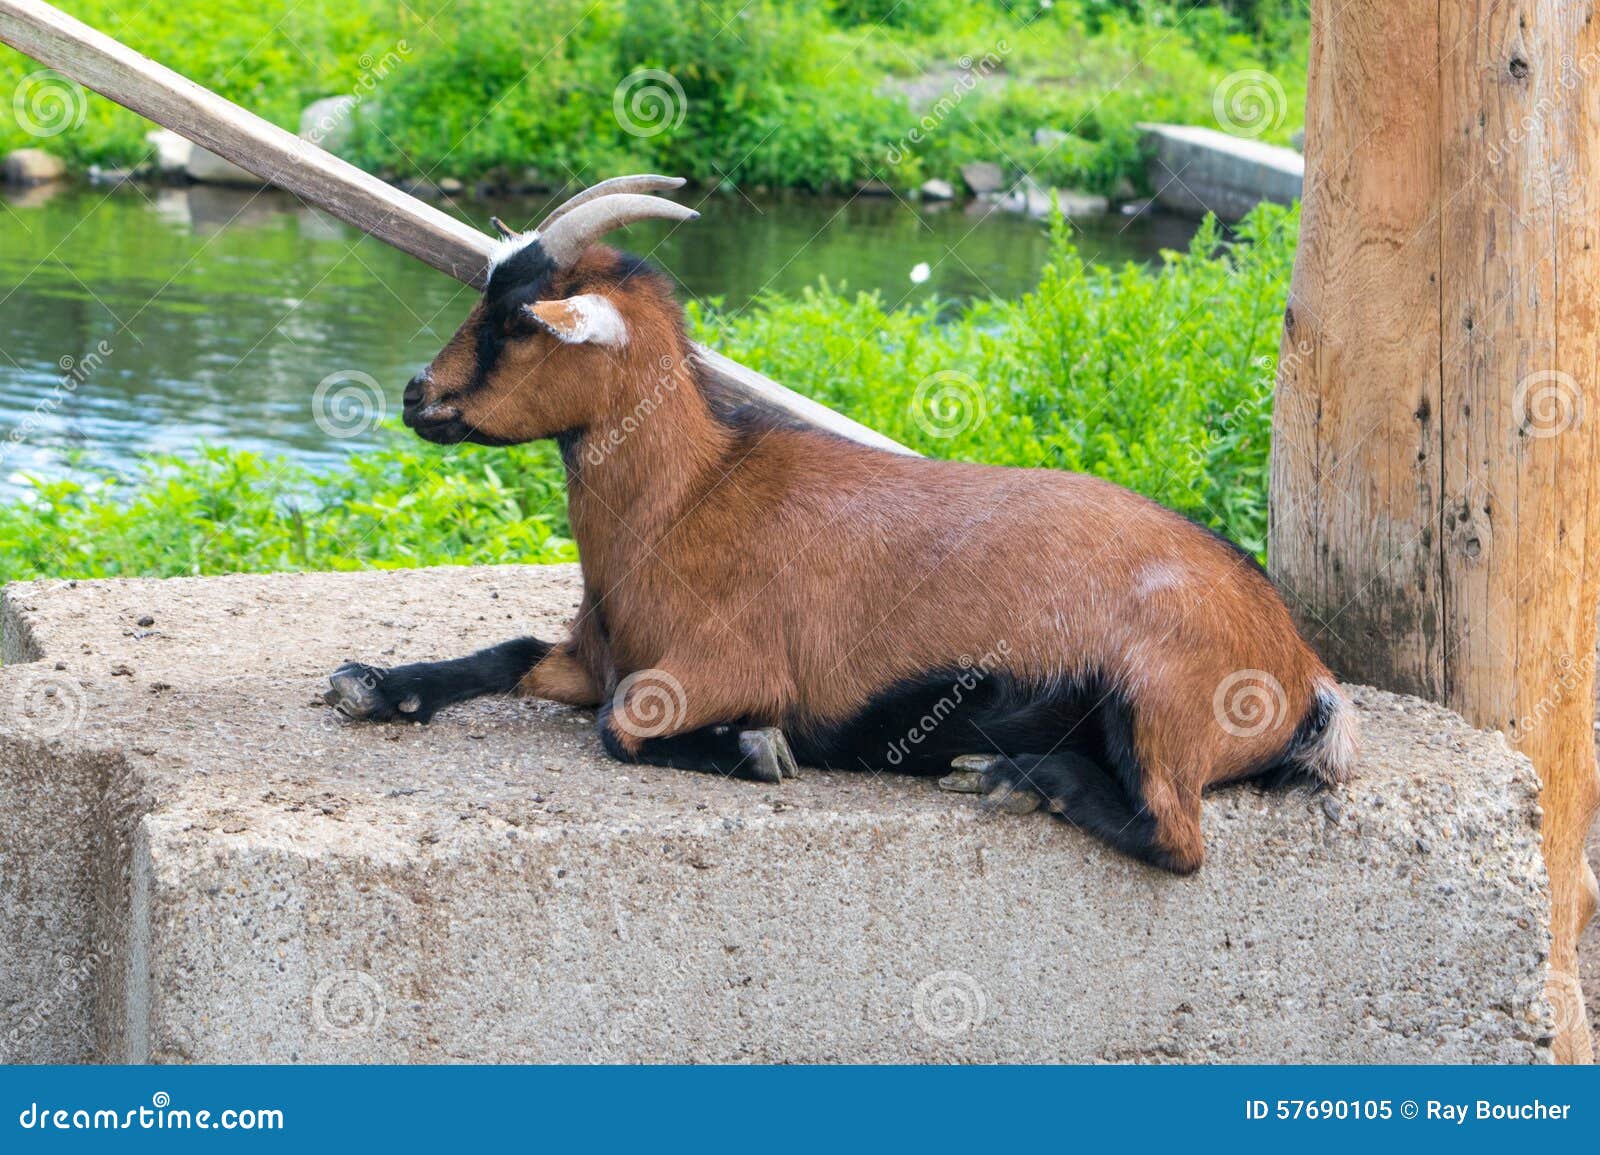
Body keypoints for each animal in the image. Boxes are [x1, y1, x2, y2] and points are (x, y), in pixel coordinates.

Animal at [324, 174, 1358, 874]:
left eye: (522, 319)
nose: (418, 396)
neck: (686, 502)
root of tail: (1304, 670)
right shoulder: (592, 652)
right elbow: (511, 650)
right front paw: (371, 684)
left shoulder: (723, 665)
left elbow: (623, 725)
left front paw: (755, 749)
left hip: (1161, 689)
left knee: (1174, 836)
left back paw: (1014, 777)